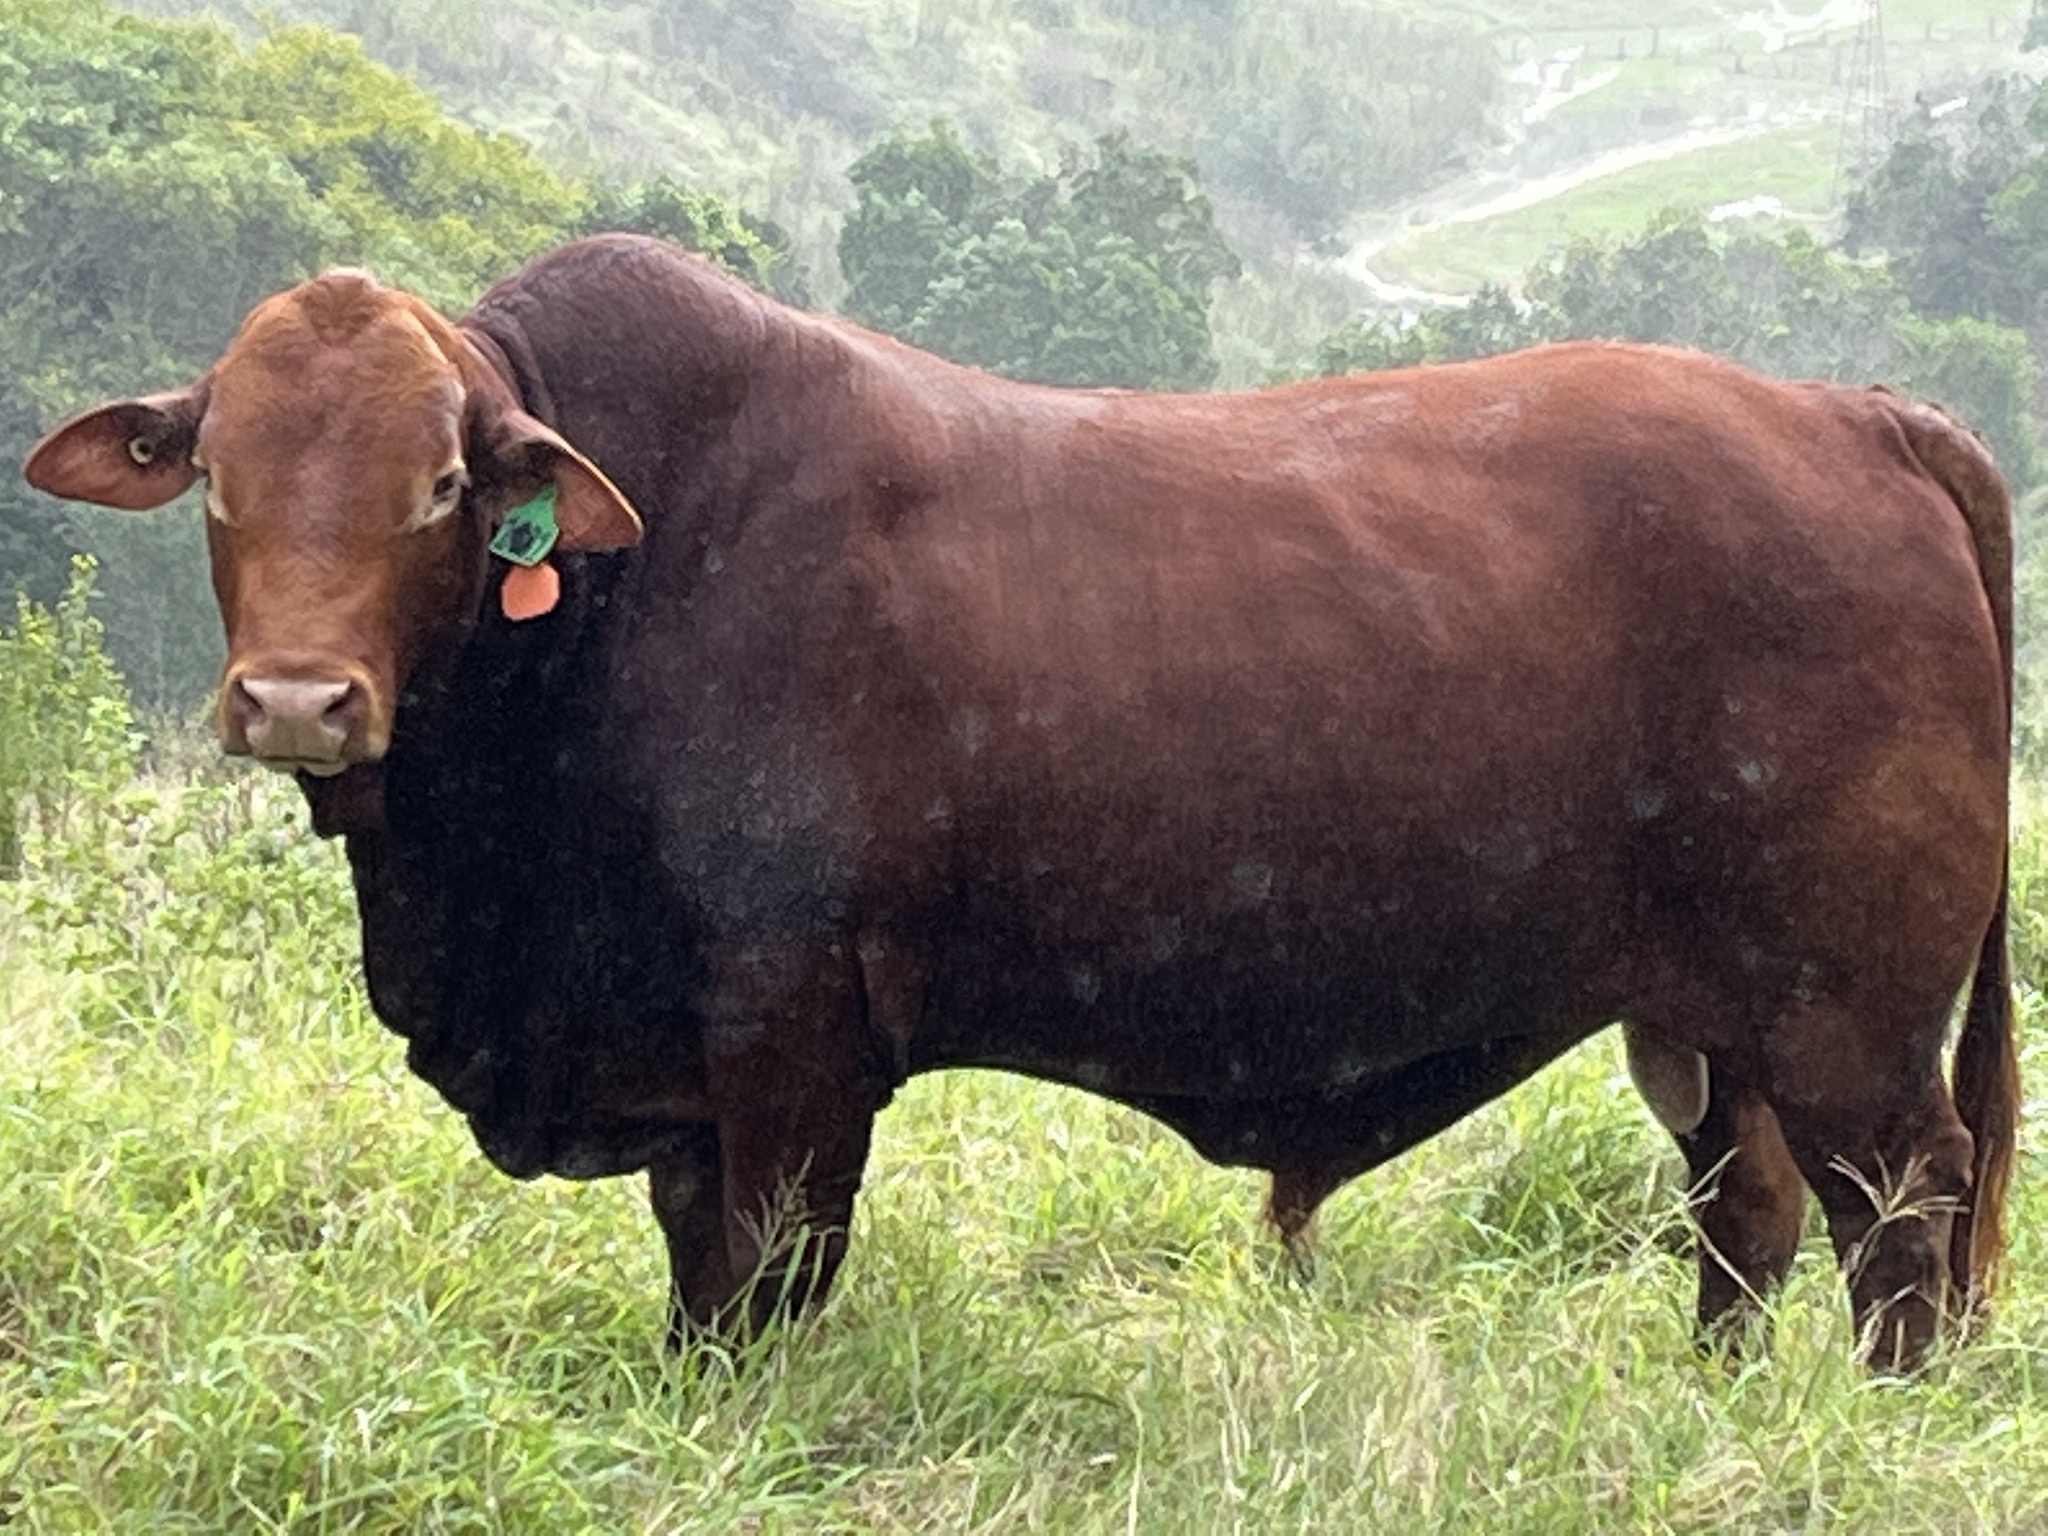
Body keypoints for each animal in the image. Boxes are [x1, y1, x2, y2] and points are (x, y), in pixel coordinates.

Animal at [25, 234, 2017, 1370]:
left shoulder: (791, 1050)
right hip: (1716, 1020)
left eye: (442, 483)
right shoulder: (682, 1083)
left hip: (1849, 1015)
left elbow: (760, 1296)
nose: (299, 700)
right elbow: (693, 1294)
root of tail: (1850, 414)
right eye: (216, 473)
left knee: (1902, 1221)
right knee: (1746, 1215)